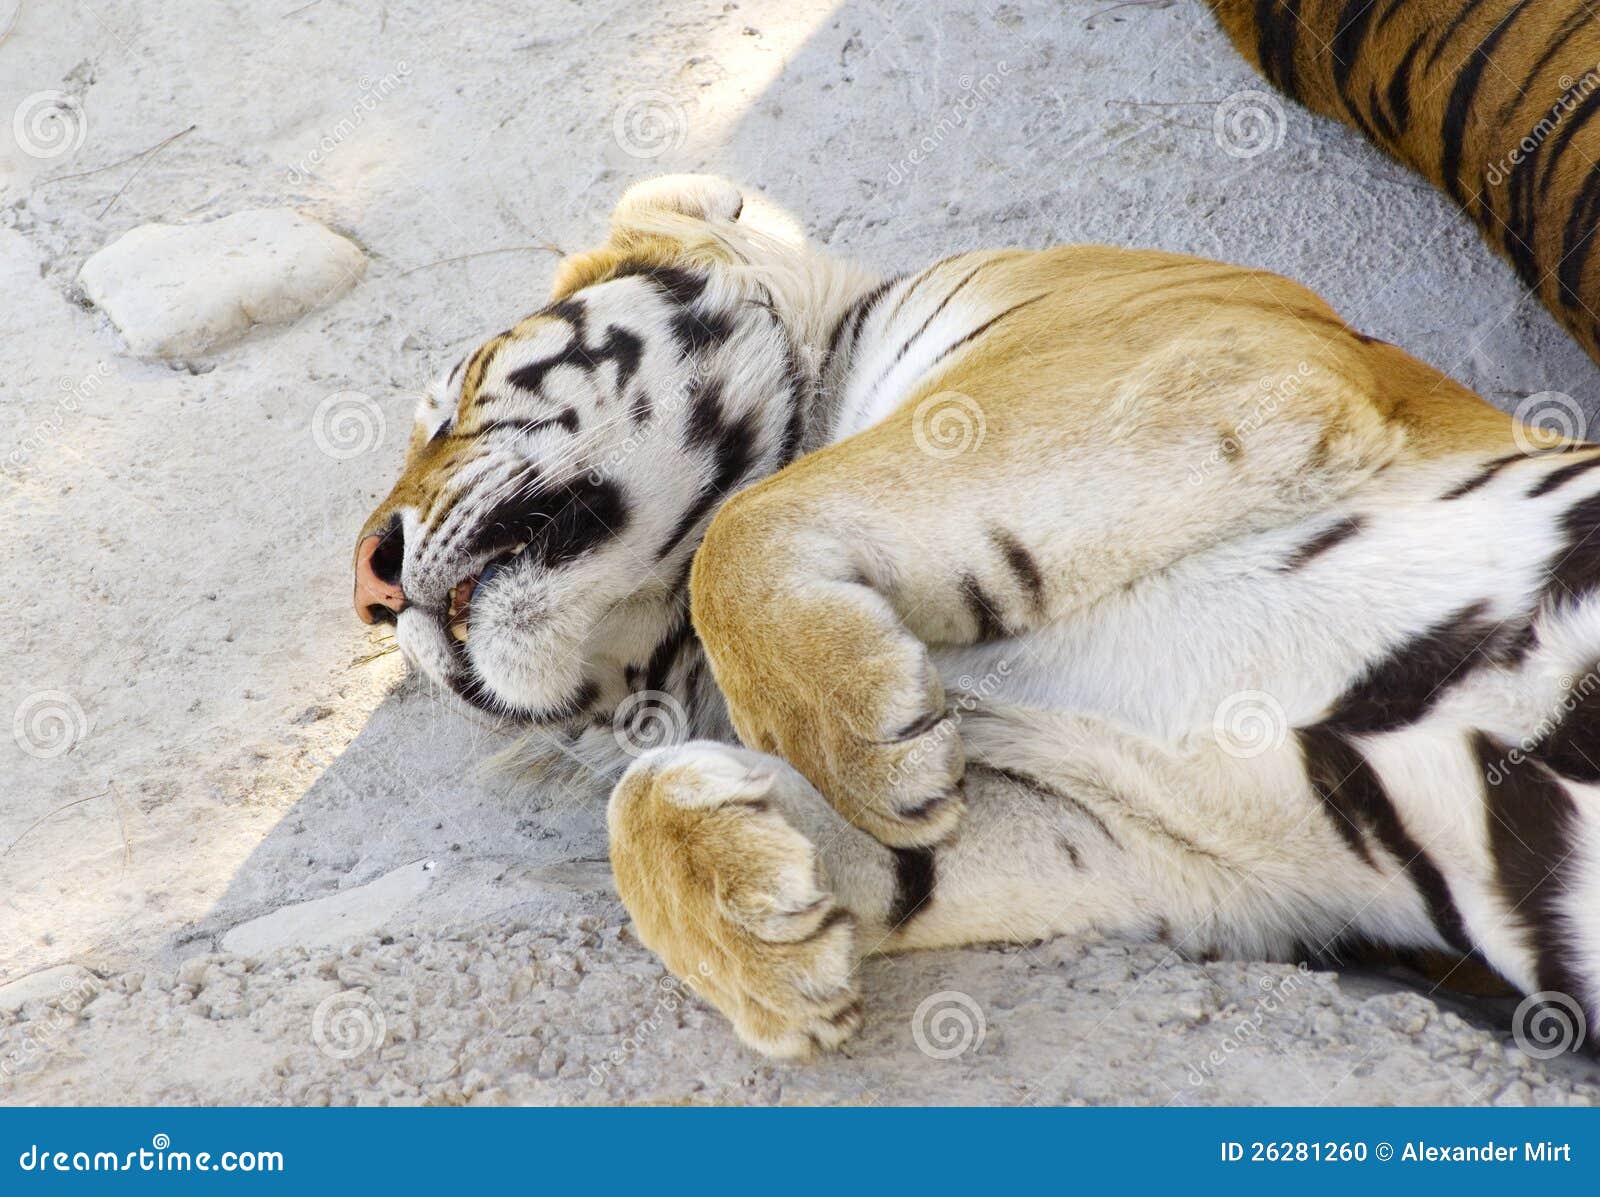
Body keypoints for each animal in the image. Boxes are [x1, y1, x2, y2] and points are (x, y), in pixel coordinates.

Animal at [353, 174, 1600, 1059]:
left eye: (450, 409)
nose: (369, 582)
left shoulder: (1182, 349)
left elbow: (739, 527)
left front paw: (858, 736)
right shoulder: (1158, 841)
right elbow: (660, 804)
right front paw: (766, 949)